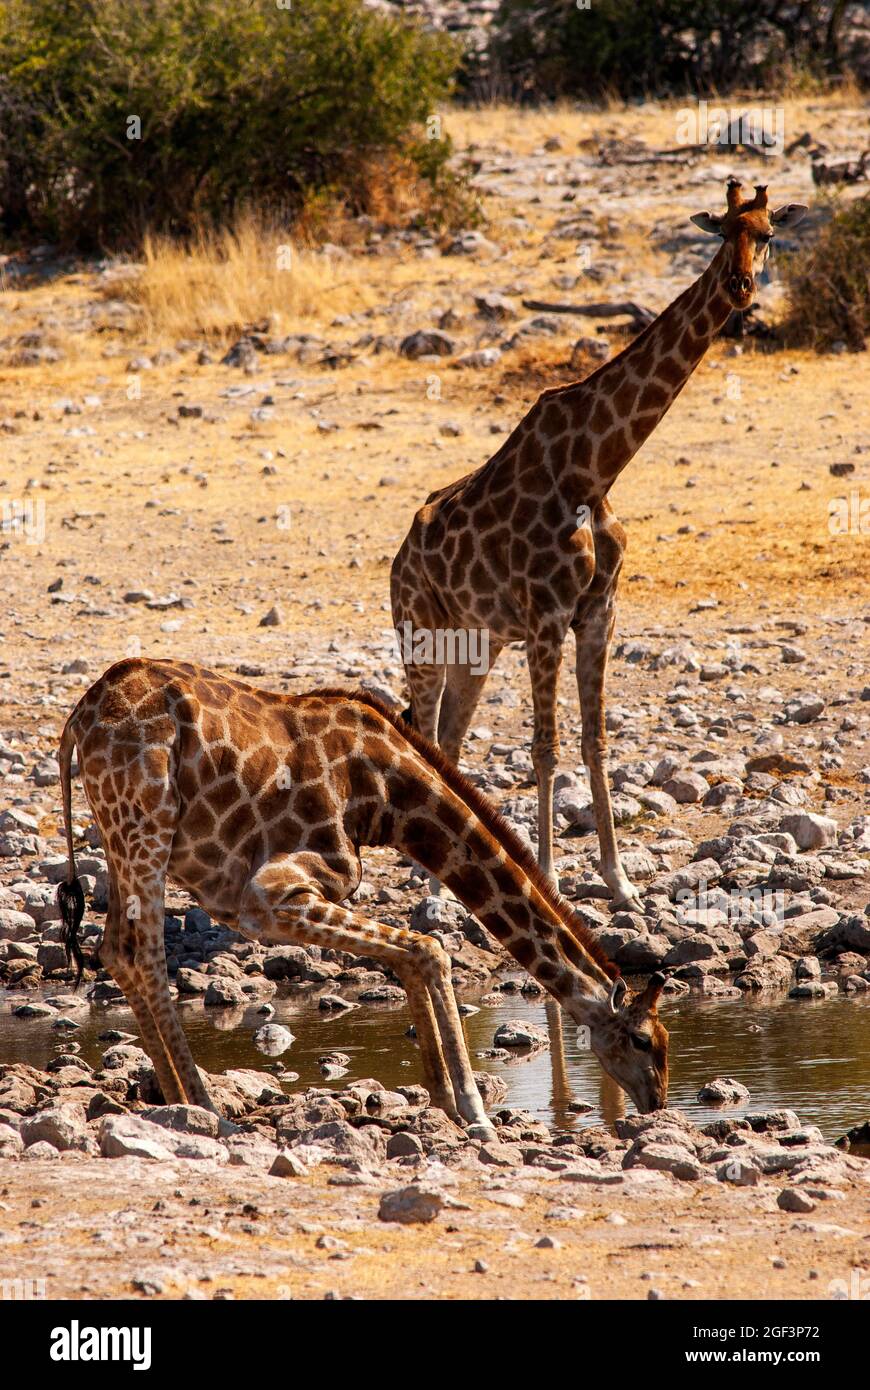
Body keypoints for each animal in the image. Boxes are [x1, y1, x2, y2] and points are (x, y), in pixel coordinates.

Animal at [56, 657, 669, 1132]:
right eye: (643, 1040)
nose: (657, 1103)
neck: (389, 797)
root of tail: (79, 719)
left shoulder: (243, 897)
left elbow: (412, 953)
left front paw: (444, 1101)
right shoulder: (269, 894)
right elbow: (430, 948)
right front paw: (475, 1113)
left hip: (122, 835)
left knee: (115, 950)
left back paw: (181, 1100)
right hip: (147, 824)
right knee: (141, 953)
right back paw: (208, 1109)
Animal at [390, 181, 808, 907]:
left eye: (768, 235)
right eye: (722, 230)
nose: (740, 287)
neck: (595, 468)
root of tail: (396, 562)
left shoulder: (598, 614)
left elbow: (595, 742)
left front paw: (620, 882)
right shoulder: (546, 616)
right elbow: (546, 747)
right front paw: (552, 878)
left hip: (475, 646)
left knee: (447, 738)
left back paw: (438, 874)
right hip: (420, 634)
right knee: (426, 735)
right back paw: (429, 877)